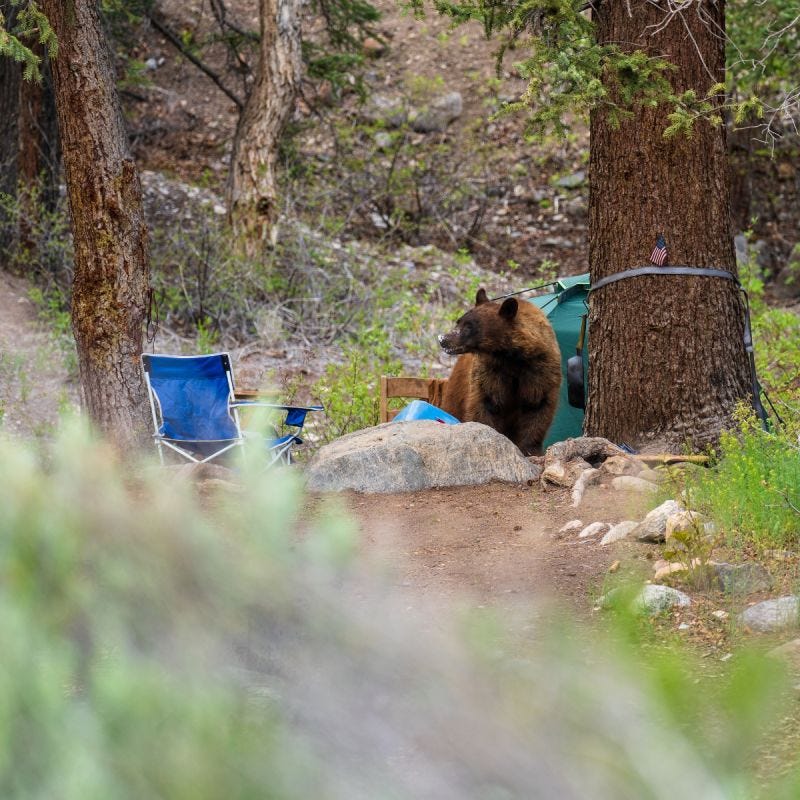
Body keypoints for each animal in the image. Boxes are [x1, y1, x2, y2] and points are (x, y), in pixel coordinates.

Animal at [438, 288, 562, 456]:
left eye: (468, 327)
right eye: (459, 321)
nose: (443, 339)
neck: (511, 357)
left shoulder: (540, 370)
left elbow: (537, 406)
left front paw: (530, 449)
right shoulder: (491, 371)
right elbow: (486, 403)